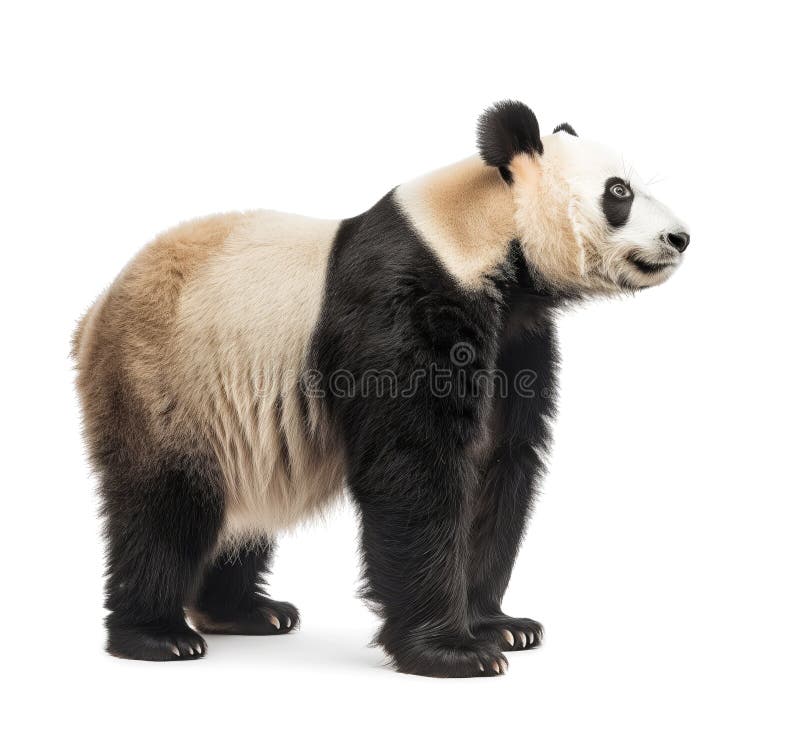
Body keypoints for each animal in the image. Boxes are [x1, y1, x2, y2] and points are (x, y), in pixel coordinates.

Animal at [73, 100, 689, 677]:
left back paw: (247, 613)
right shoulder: (406, 299)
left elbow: (498, 460)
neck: (480, 232)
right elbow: (415, 463)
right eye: (618, 191)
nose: (680, 238)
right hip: (167, 372)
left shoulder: (517, 337)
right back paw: (159, 635)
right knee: (167, 502)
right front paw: (452, 651)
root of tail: (96, 313)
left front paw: (498, 626)